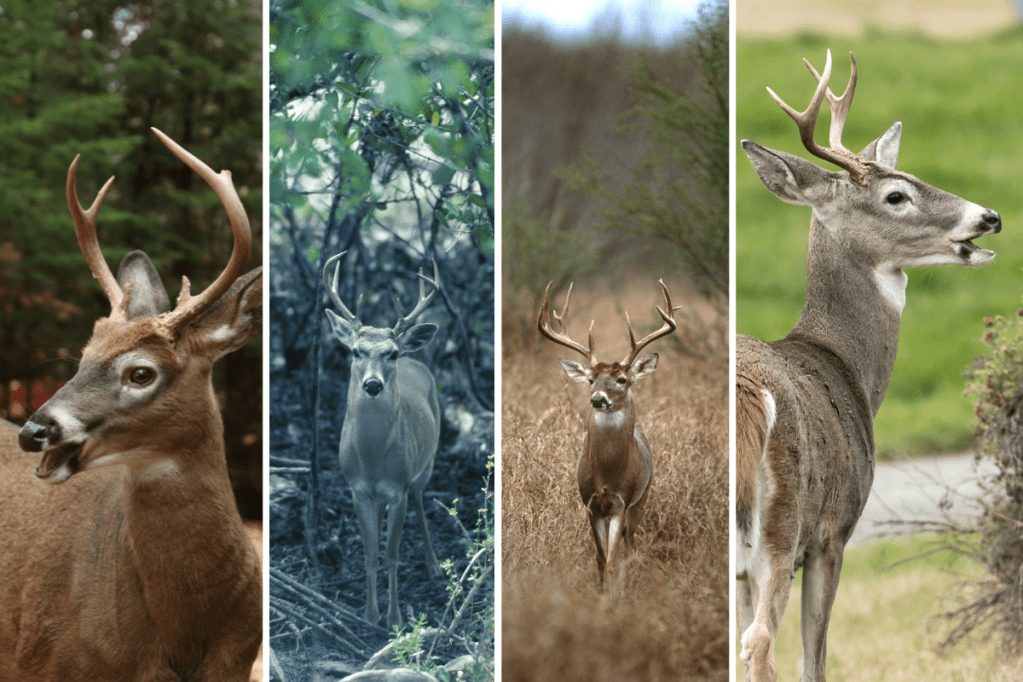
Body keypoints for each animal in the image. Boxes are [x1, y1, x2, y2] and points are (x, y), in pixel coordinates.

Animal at [322, 251, 444, 628]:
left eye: (390, 353)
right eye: (356, 351)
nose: (373, 384)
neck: (373, 458)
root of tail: (416, 359)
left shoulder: (398, 489)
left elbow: (391, 554)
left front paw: (394, 617)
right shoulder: (357, 489)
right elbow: (370, 552)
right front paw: (368, 613)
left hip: (425, 465)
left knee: (421, 499)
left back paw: (434, 565)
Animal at [537, 280, 677, 592]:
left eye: (622, 379)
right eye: (590, 380)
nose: (598, 399)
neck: (607, 474)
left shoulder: (621, 502)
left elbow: (612, 558)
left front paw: (615, 597)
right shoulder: (590, 504)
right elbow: (600, 559)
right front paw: (601, 594)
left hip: (643, 497)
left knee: (630, 544)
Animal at [736, 50, 1001, 682]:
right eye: (896, 196)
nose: (989, 217)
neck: (843, 363)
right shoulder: (833, 532)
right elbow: (814, 659)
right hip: (780, 526)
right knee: (760, 643)